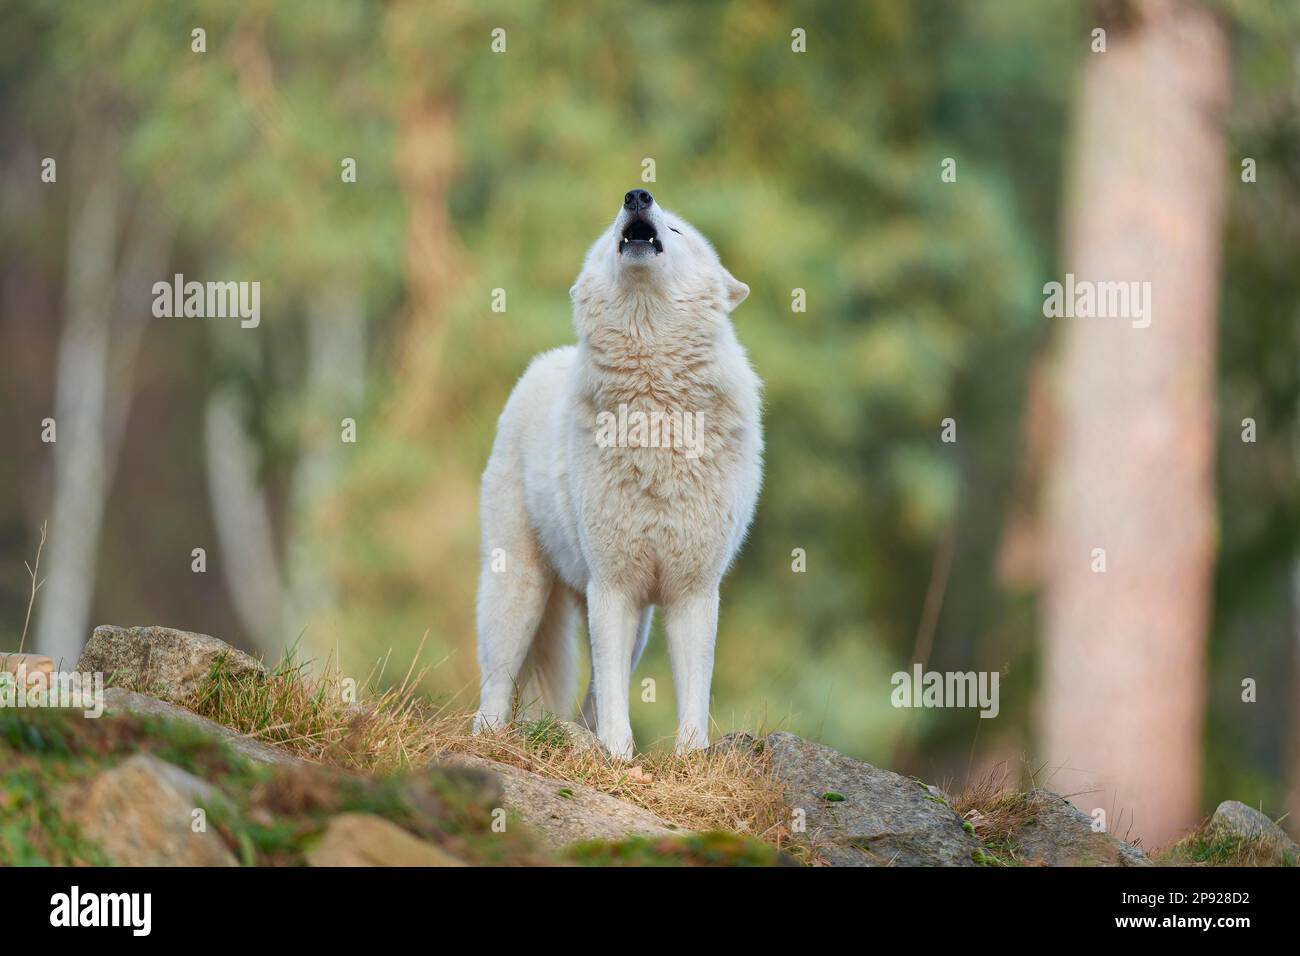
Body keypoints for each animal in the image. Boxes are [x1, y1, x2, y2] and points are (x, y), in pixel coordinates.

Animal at [472, 189, 763, 759]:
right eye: (613, 230)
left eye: (676, 230)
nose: (637, 195)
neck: (655, 409)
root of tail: (543, 362)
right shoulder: (612, 585)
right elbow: (612, 694)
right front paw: (617, 755)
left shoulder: (693, 591)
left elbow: (693, 690)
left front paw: (688, 759)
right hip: (520, 590)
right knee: (495, 685)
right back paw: (492, 741)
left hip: (634, 620)